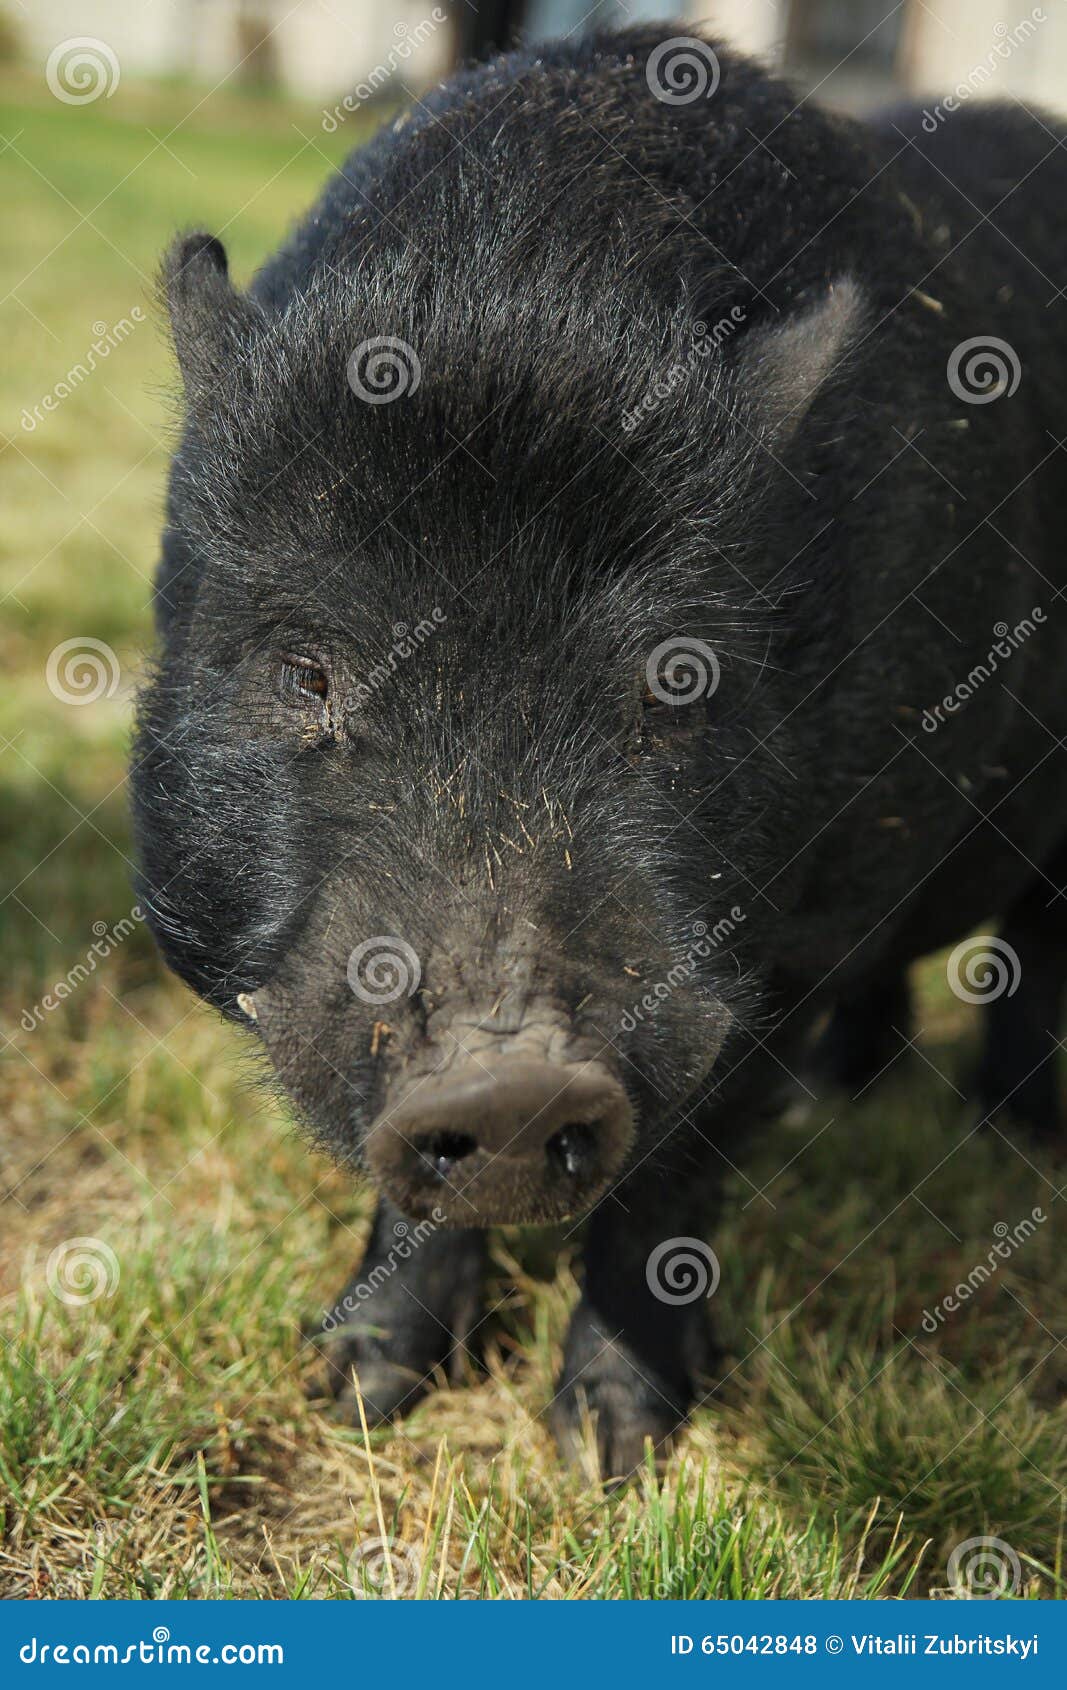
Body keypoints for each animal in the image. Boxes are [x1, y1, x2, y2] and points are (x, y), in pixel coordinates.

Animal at [132, 27, 1067, 1475]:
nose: (511, 1075)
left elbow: (675, 1178)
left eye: (677, 680)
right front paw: (355, 1392)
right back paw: (849, 1098)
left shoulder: (775, 954)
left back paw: (1014, 1133)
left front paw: (609, 1453)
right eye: (306, 670)